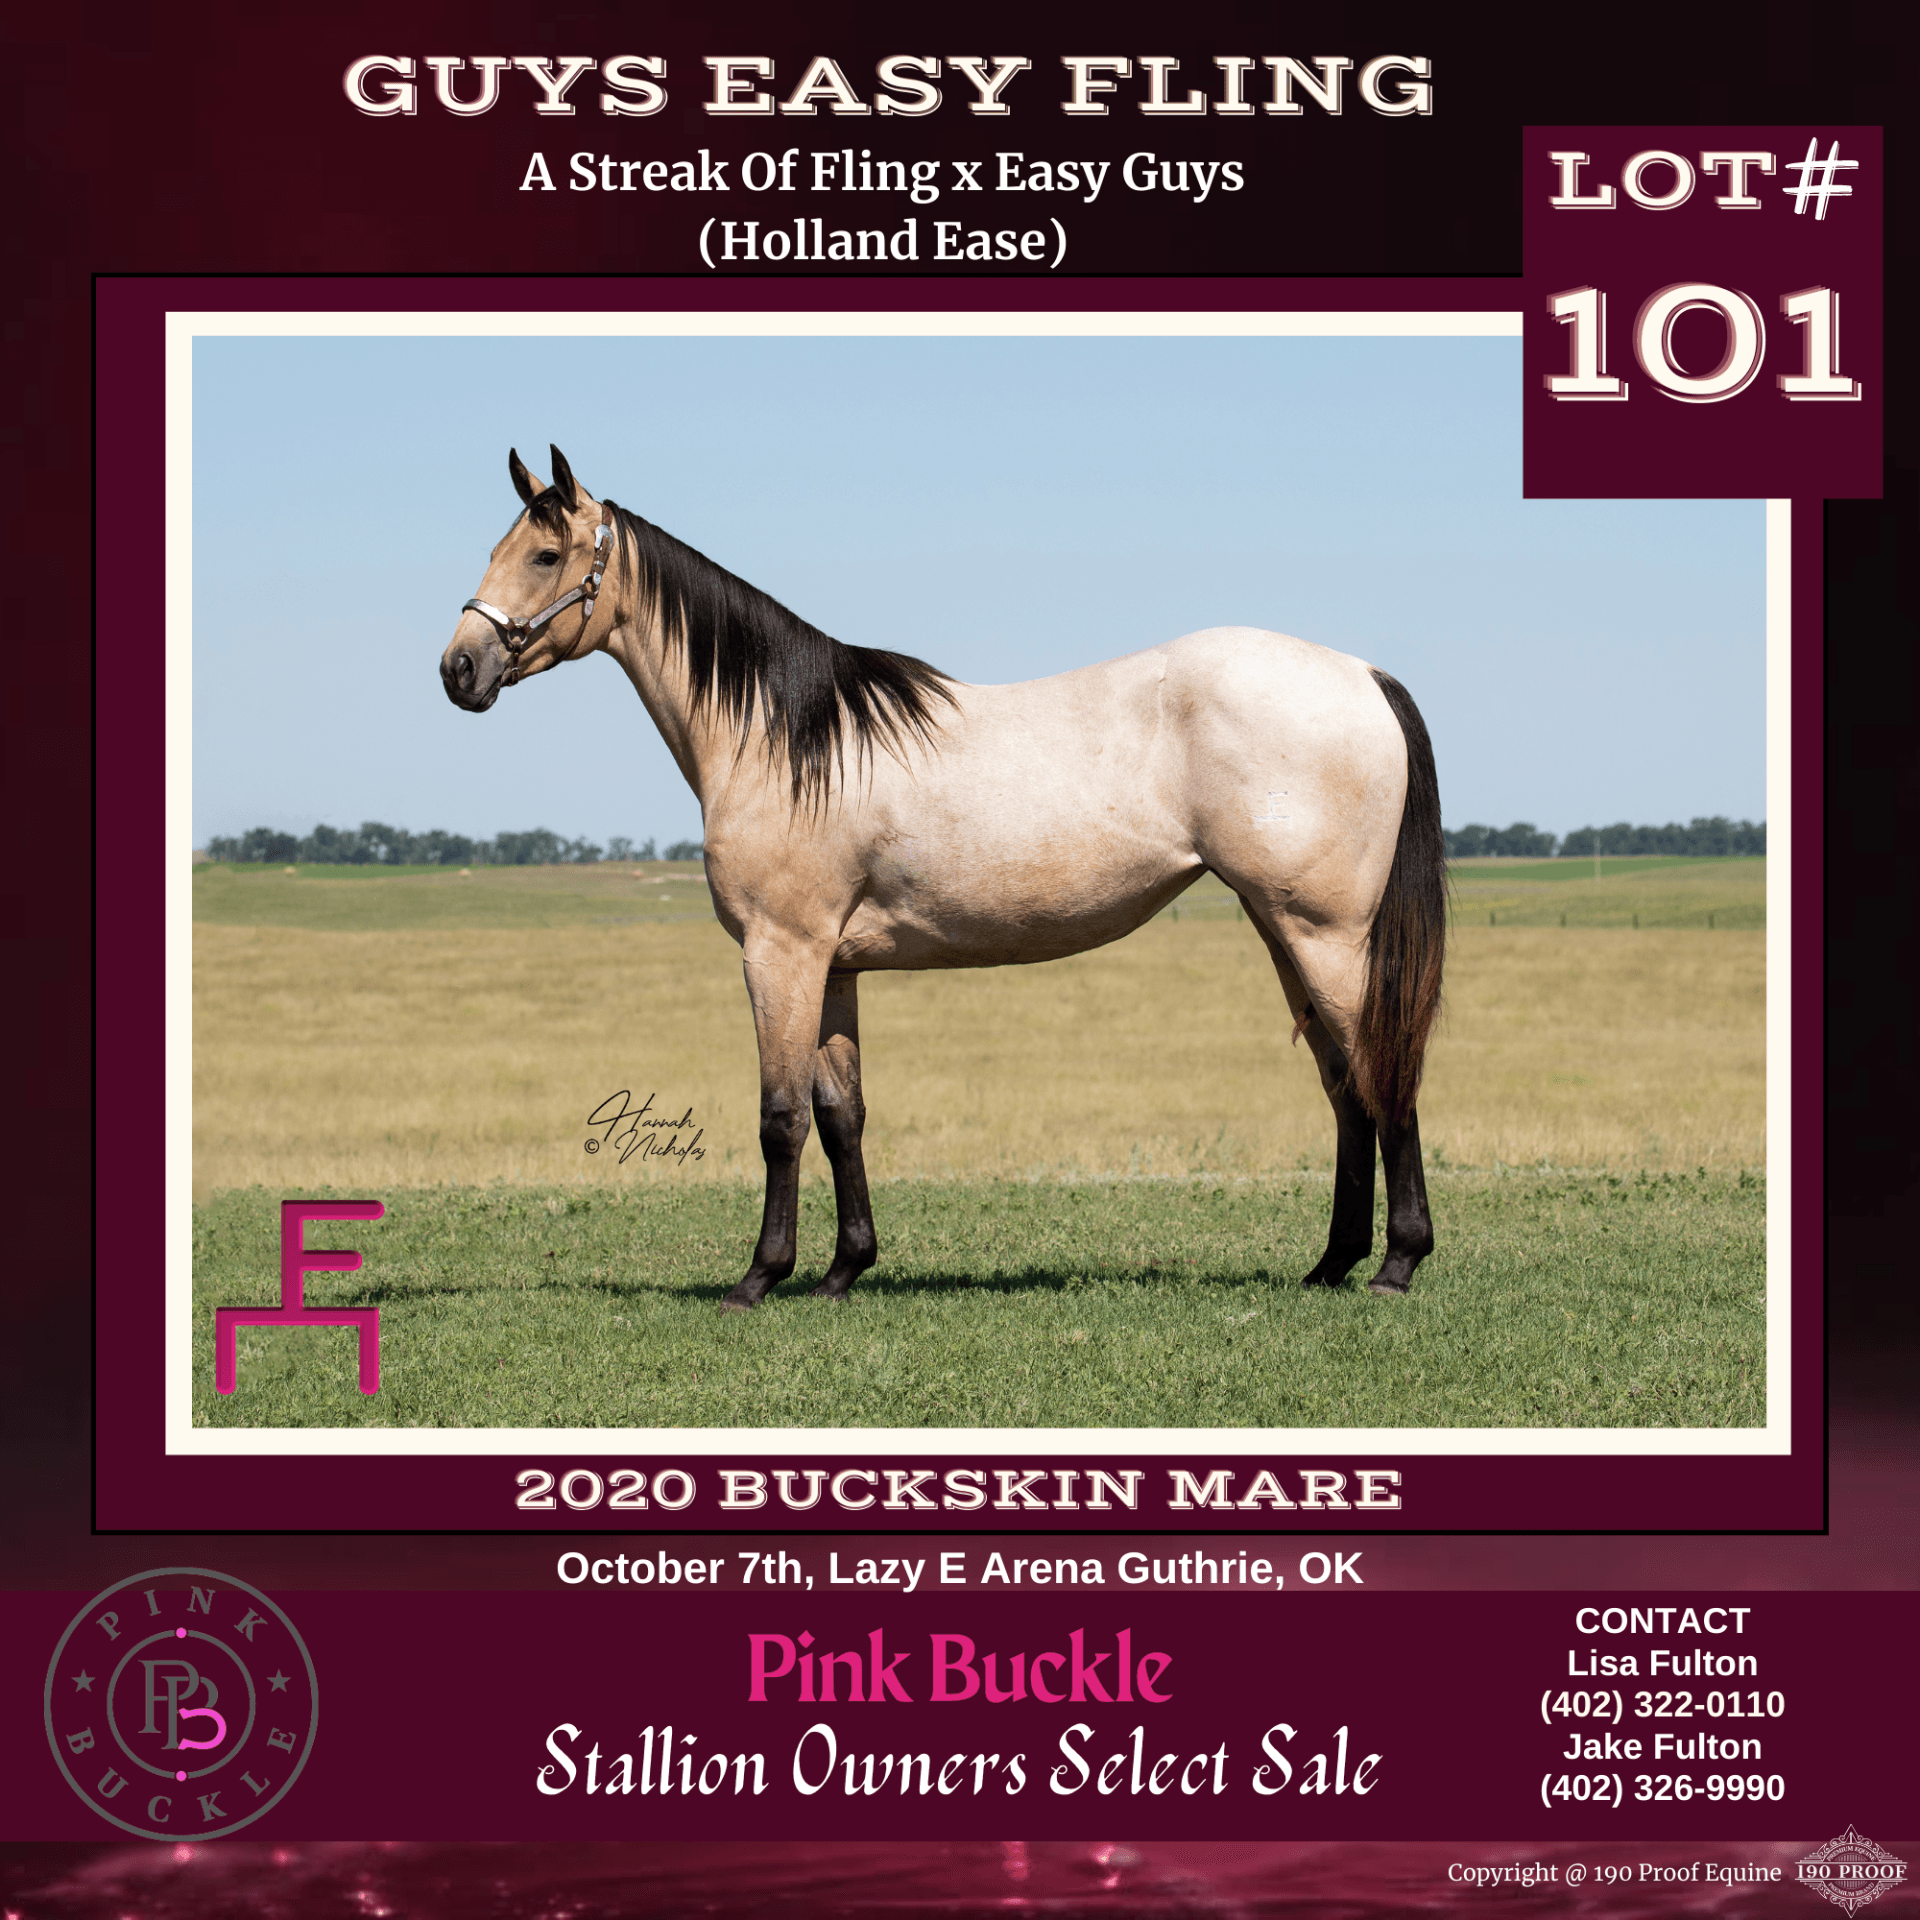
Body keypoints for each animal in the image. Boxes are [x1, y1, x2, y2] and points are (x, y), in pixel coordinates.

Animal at [441, 447, 1446, 1309]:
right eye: (498, 550)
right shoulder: (834, 966)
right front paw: (845, 1271)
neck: (786, 740)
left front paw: (759, 1278)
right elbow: (841, 1114)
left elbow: (780, 1117)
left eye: (544, 553)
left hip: (1325, 935)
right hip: (1286, 932)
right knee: (1345, 1084)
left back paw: (1395, 1264)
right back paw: (1331, 1263)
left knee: (1382, 1072)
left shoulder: (780, 953)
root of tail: (1365, 675)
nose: (459, 668)